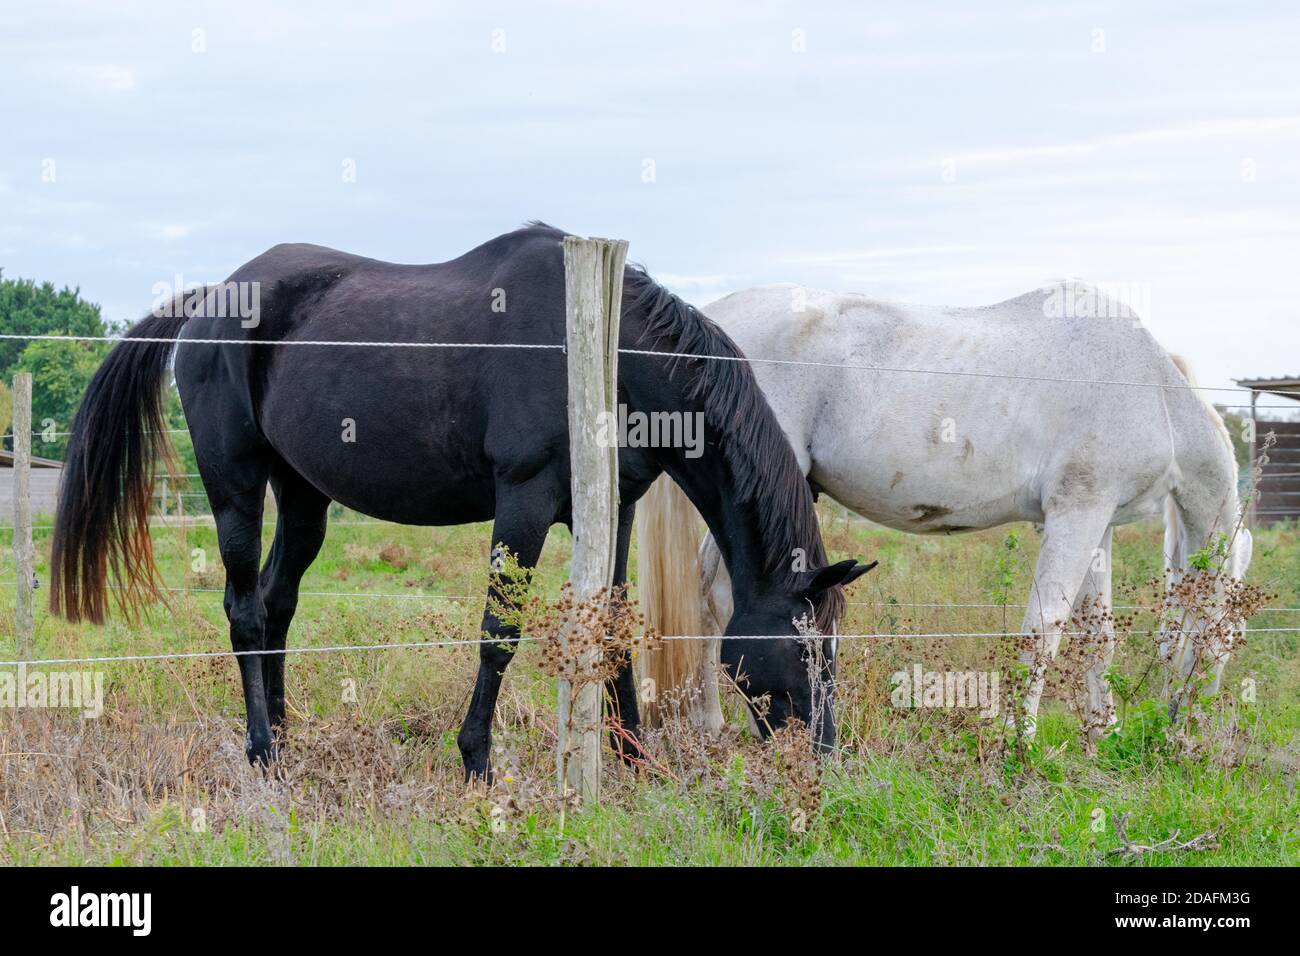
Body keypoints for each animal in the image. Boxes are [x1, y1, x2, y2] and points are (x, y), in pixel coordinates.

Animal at [47, 223, 874, 778]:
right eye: (806, 646)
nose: (824, 758)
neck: (604, 350)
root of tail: (212, 297)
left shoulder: (615, 507)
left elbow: (613, 627)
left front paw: (635, 760)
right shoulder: (525, 502)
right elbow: (498, 632)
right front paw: (477, 759)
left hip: (304, 494)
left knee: (278, 605)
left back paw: (285, 734)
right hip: (235, 484)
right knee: (246, 610)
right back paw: (261, 752)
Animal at [640, 280, 1252, 740]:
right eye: (1235, 627)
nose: (1187, 730)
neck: (1149, 386)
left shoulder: (1095, 523)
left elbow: (1094, 634)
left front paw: (1102, 732)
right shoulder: (1075, 514)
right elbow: (1042, 631)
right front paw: (1017, 742)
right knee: (718, 597)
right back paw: (723, 725)